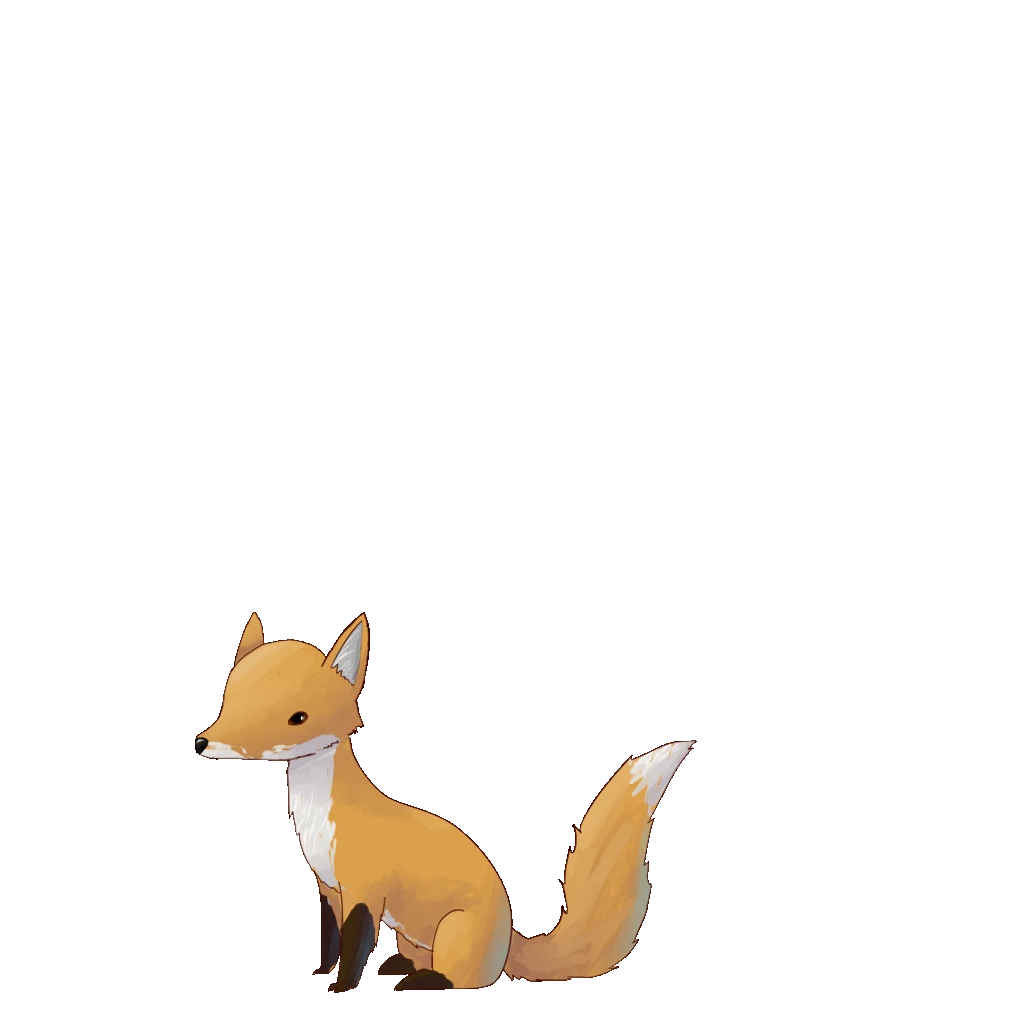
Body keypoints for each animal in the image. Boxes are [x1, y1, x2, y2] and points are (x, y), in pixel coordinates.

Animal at [196, 613, 695, 992]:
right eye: (228, 700)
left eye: (297, 718)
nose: (204, 742)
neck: (323, 817)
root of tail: (510, 937)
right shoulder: (327, 887)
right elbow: (332, 943)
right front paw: (323, 976)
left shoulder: (364, 892)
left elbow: (355, 947)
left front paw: (341, 988)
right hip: (414, 936)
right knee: (422, 963)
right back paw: (399, 970)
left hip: (454, 932)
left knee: (460, 981)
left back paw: (416, 982)